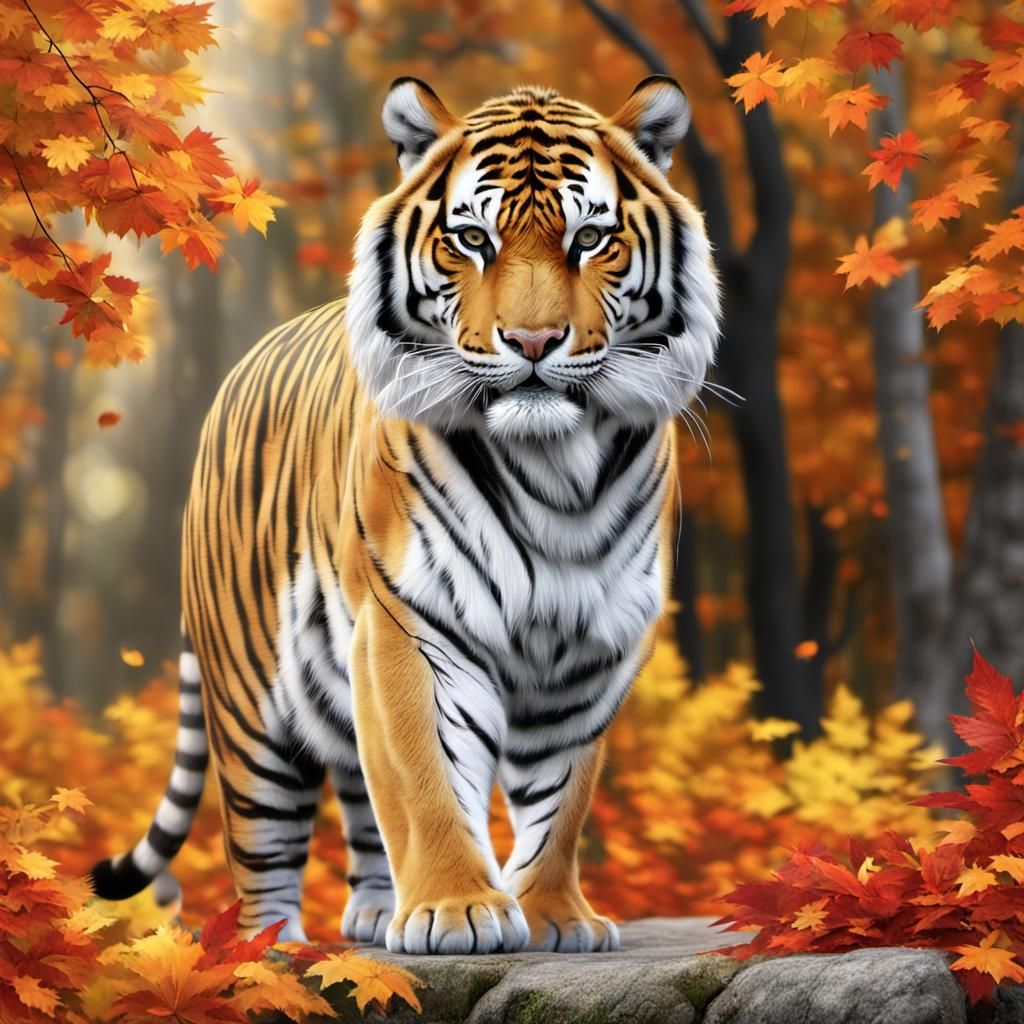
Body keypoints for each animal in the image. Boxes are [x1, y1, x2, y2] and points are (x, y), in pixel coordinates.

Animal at [89, 75, 720, 955]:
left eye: (592, 238)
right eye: (473, 239)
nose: (533, 342)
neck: (556, 470)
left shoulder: (592, 645)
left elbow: (561, 797)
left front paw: (553, 916)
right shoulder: (410, 622)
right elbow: (429, 775)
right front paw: (459, 911)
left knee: (359, 786)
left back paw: (375, 915)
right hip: (252, 708)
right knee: (264, 844)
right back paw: (269, 950)